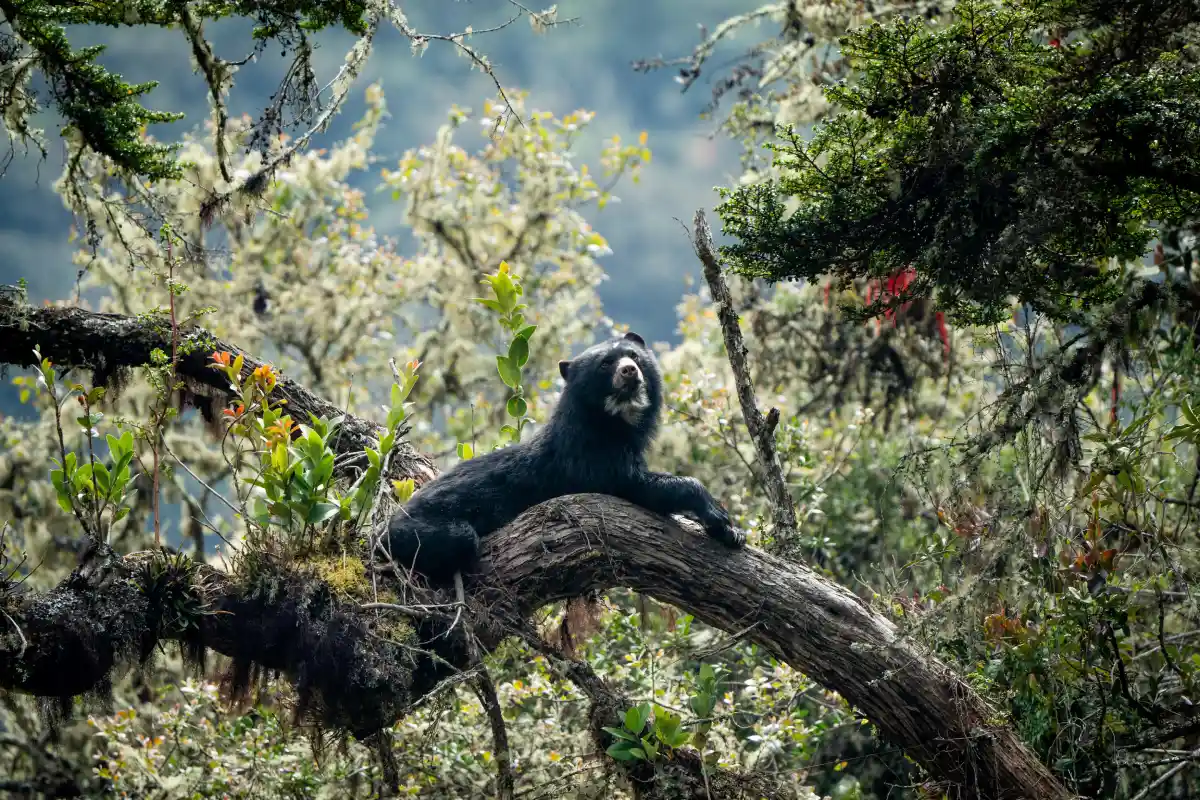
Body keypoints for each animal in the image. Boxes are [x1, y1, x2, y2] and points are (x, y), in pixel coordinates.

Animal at [384, 331, 745, 586]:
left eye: (633, 356)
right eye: (605, 364)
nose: (630, 371)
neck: (613, 422)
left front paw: (733, 534)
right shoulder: (590, 461)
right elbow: (635, 484)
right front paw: (720, 517)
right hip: (426, 531)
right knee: (461, 539)